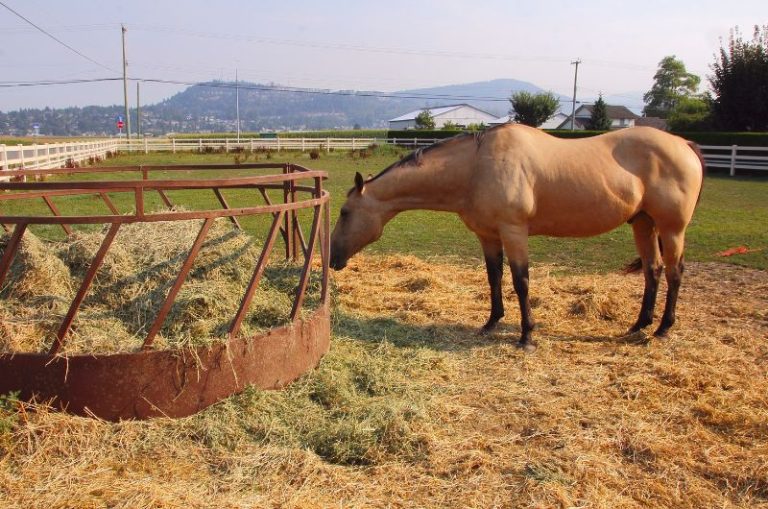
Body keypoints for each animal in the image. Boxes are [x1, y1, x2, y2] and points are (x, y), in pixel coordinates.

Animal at [329, 124, 705, 351]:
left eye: (345, 212)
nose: (333, 257)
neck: (476, 167)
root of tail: (684, 144)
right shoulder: (487, 235)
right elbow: (494, 277)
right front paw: (492, 322)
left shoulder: (514, 231)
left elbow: (520, 281)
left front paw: (527, 335)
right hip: (643, 224)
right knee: (653, 271)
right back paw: (639, 324)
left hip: (671, 229)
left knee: (674, 273)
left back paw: (663, 328)